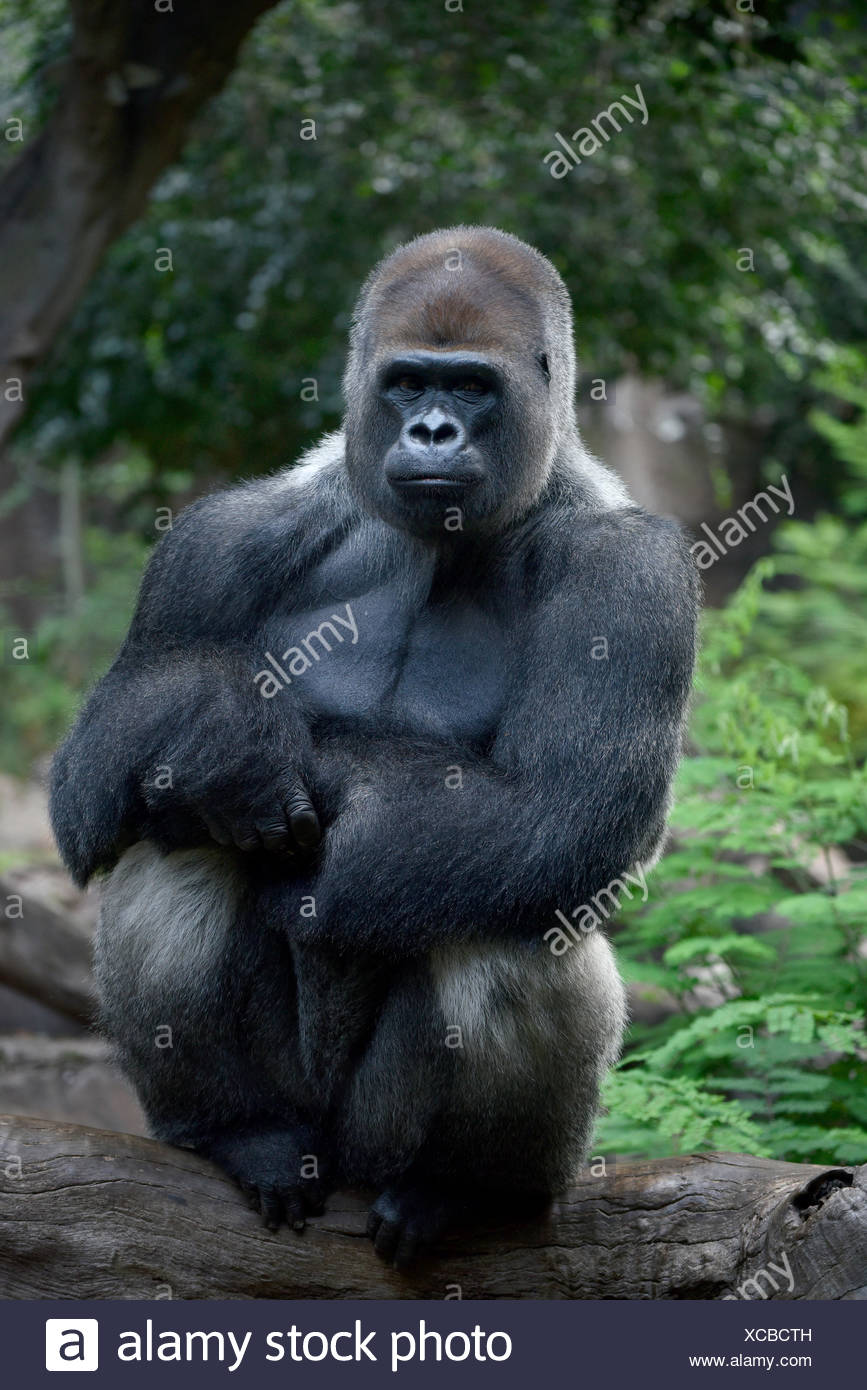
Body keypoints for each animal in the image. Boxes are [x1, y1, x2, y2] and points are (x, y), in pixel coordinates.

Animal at [50, 226, 699, 1266]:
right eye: (405, 383)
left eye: (470, 386)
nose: (432, 432)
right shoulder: (215, 540)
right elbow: (96, 777)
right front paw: (225, 734)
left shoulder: (630, 574)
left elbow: (564, 810)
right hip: (301, 1115)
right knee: (177, 837)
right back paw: (239, 1129)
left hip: (380, 1137)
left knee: (511, 907)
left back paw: (464, 1187)